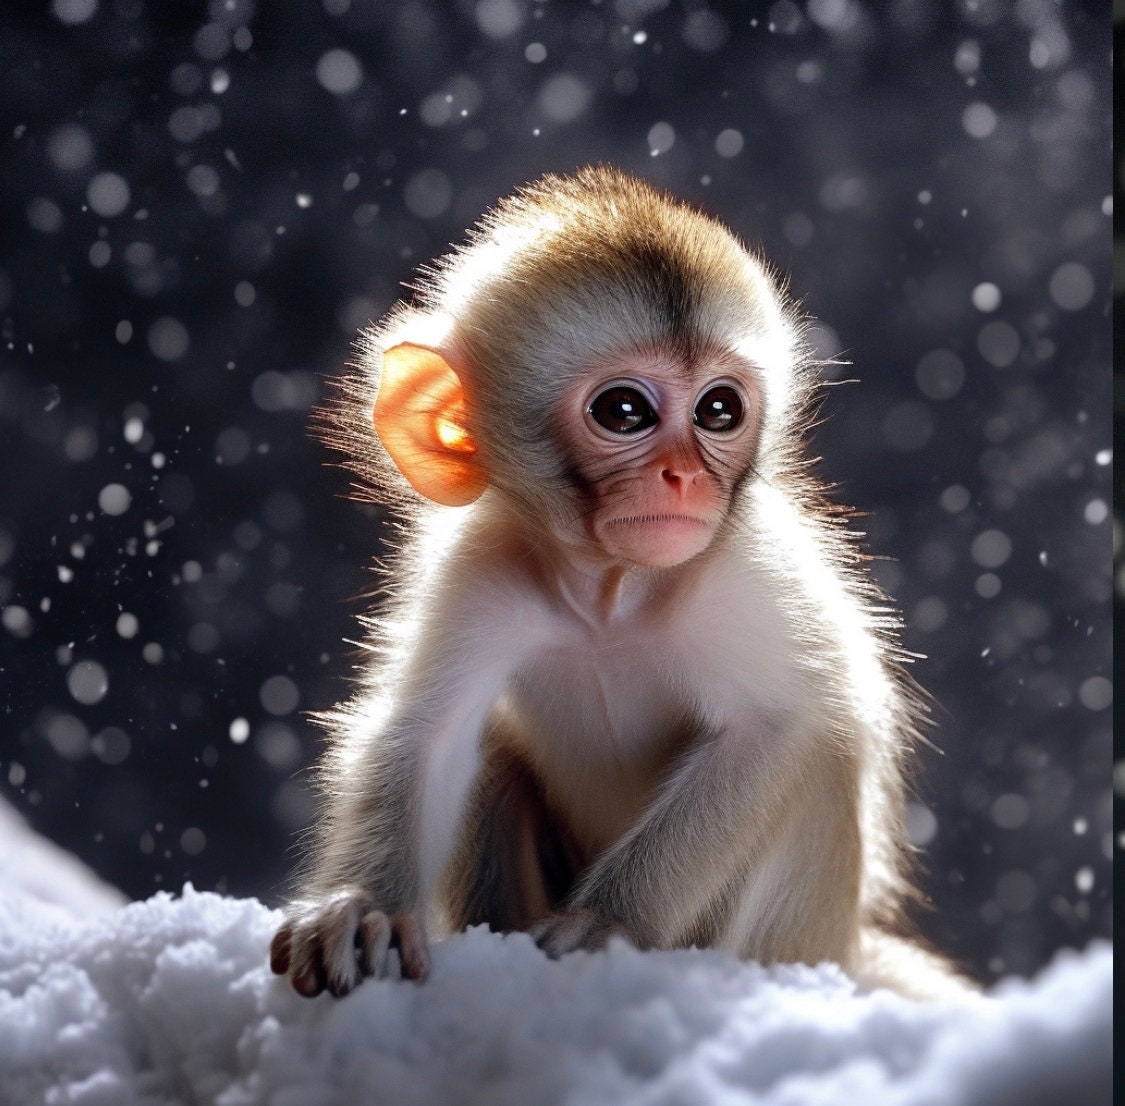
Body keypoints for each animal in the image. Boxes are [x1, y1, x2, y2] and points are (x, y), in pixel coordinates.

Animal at [269, 166, 966, 1001]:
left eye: (718, 410)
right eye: (624, 411)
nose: (684, 476)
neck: (609, 596)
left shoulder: (747, 572)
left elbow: (778, 726)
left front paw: (605, 926)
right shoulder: (478, 569)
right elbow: (429, 732)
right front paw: (363, 909)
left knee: (821, 763)